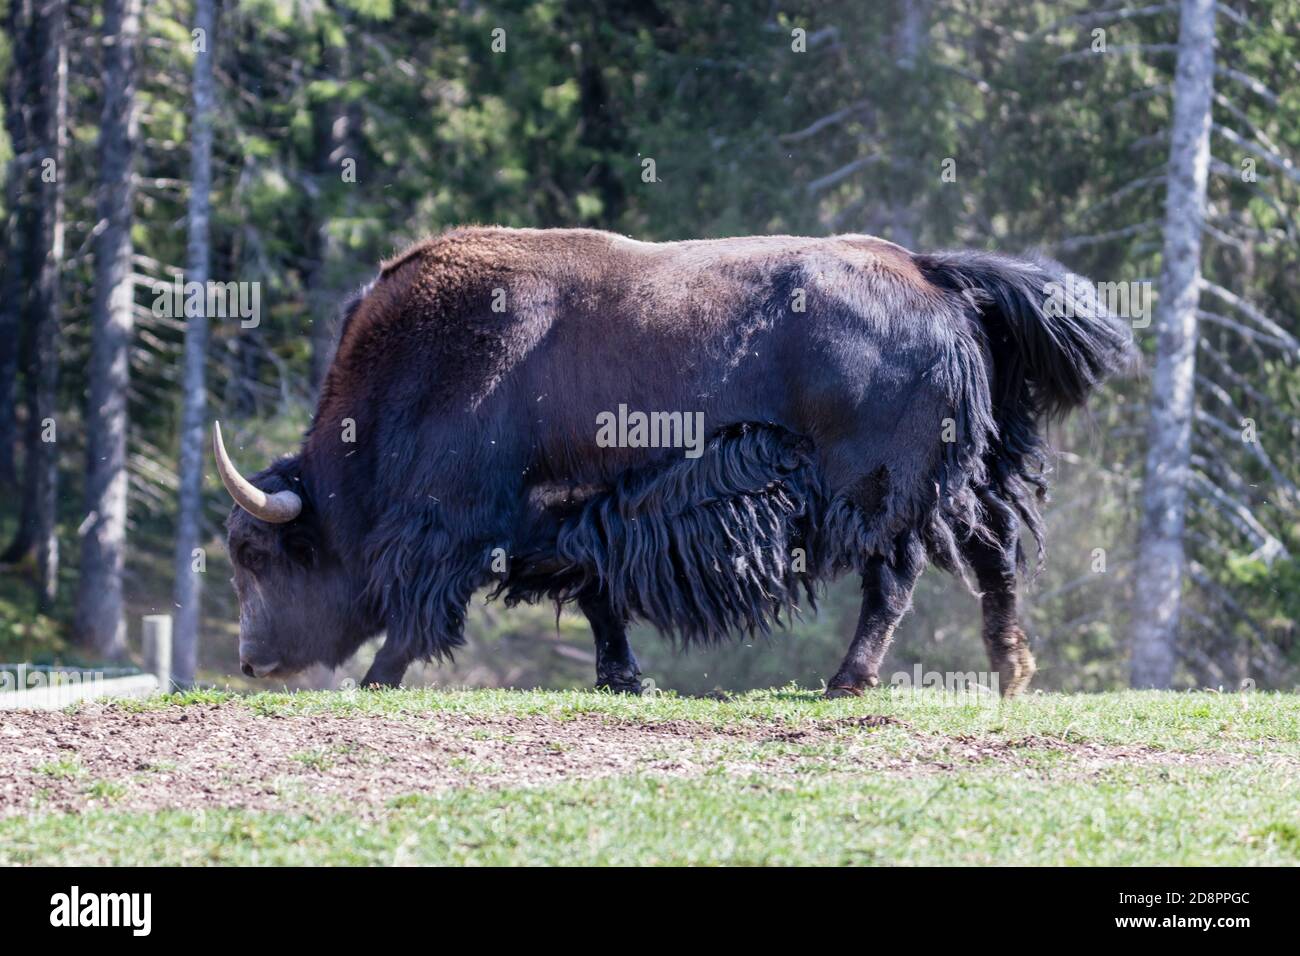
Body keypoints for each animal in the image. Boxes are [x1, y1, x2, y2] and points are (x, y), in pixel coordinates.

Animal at [215, 227, 1135, 696]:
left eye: (262, 554)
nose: (252, 662)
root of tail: (930, 274)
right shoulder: (577, 516)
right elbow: (597, 596)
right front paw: (624, 680)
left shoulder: (456, 528)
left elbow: (421, 609)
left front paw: (379, 677)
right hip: (963, 481)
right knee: (995, 552)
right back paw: (1010, 673)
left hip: (882, 496)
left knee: (895, 582)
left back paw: (848, 680)